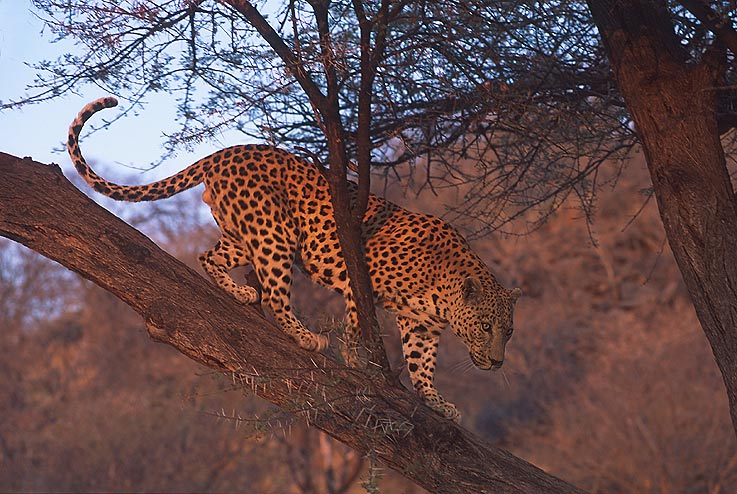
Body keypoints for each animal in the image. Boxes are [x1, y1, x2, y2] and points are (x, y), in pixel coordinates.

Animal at [67, 96, 522, 421]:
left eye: (509, 331)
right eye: (485, 327)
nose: (498, 362)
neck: (442, 287)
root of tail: (225, 152)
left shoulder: (421, 323)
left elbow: (422, 363)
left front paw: (435, 402)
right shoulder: (360, 276)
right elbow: (357, 326)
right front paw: (357, 361)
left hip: (246, 234)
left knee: (207, 255)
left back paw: (239, 293)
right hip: (275, 233)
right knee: (273, 295)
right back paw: (303, 334)